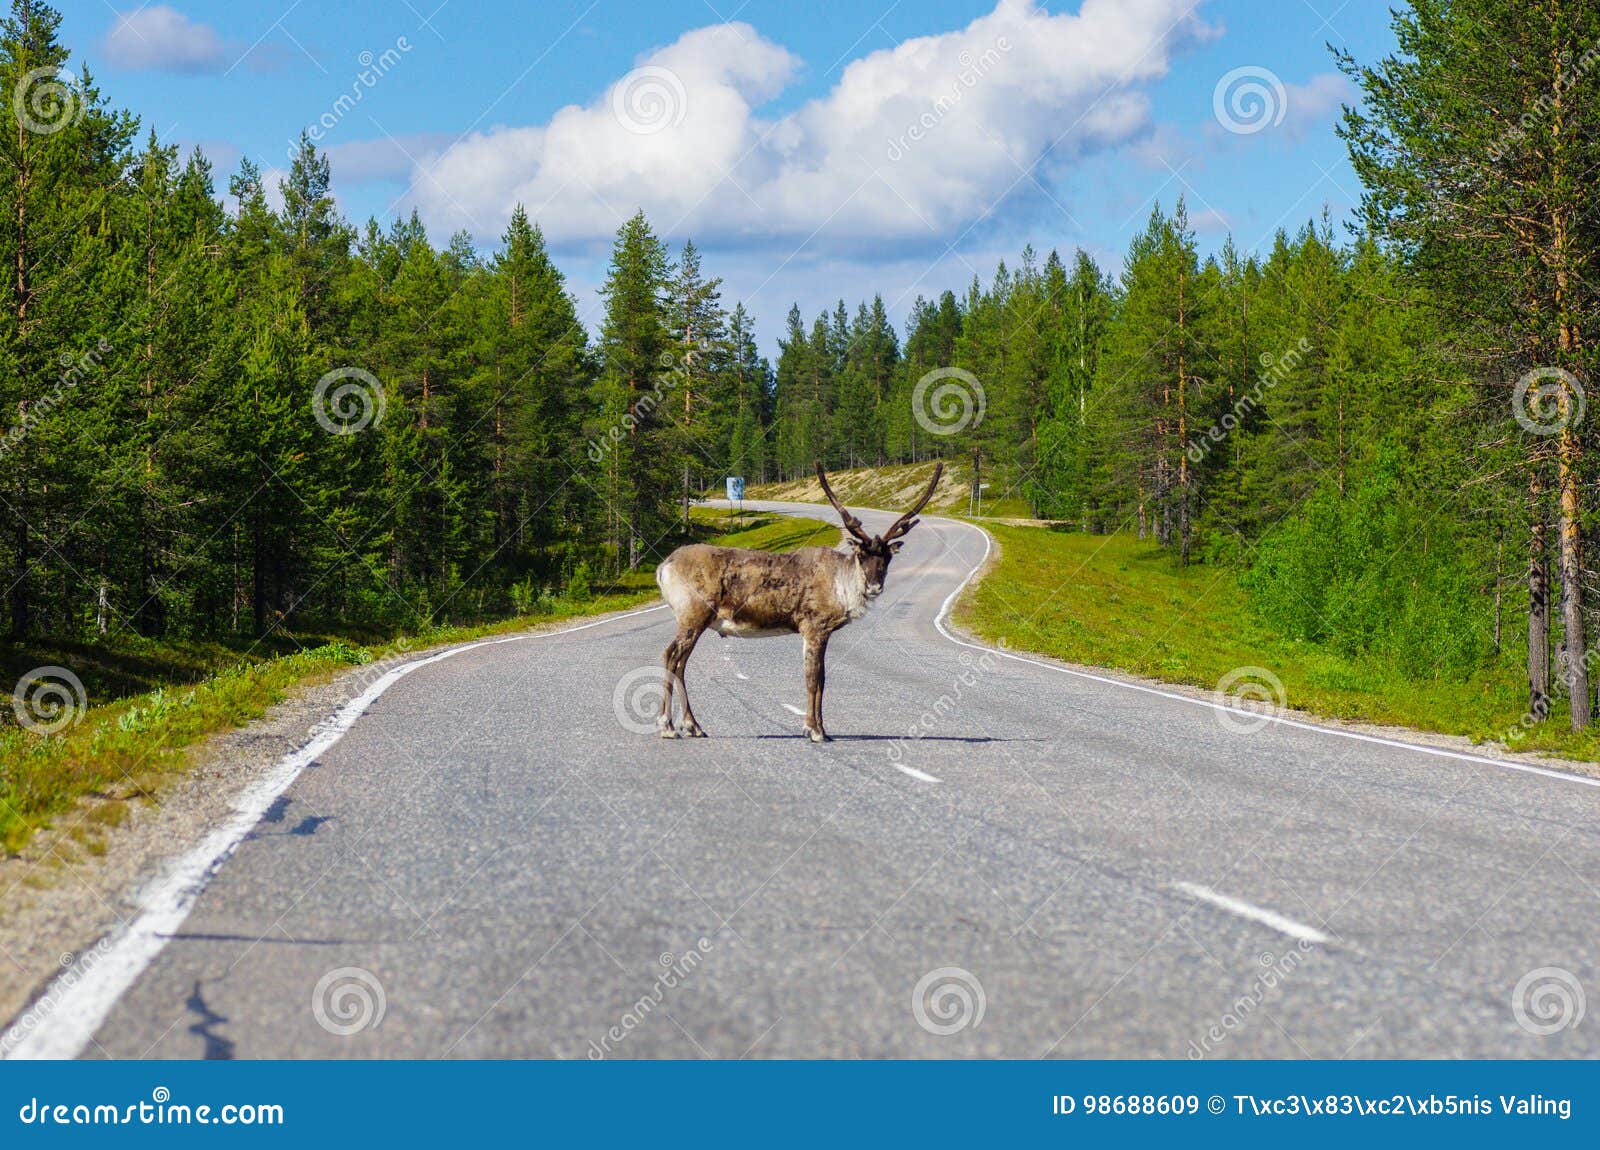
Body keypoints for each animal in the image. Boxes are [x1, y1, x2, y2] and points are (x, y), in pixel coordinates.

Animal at [653, 461, 944, 742]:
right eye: (861, 555)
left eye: (887, 557)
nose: (874, 586)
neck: (842, 586)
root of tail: (663, 567)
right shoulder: (814, 627)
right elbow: (813, 678)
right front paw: (814, 730)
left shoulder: (820, 632)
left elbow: (822, 679)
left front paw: (821, 729)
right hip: (693, 616)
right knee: (671, 656)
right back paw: (668, 726)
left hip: (694, 620)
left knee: (679, 662)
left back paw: (691, 726)